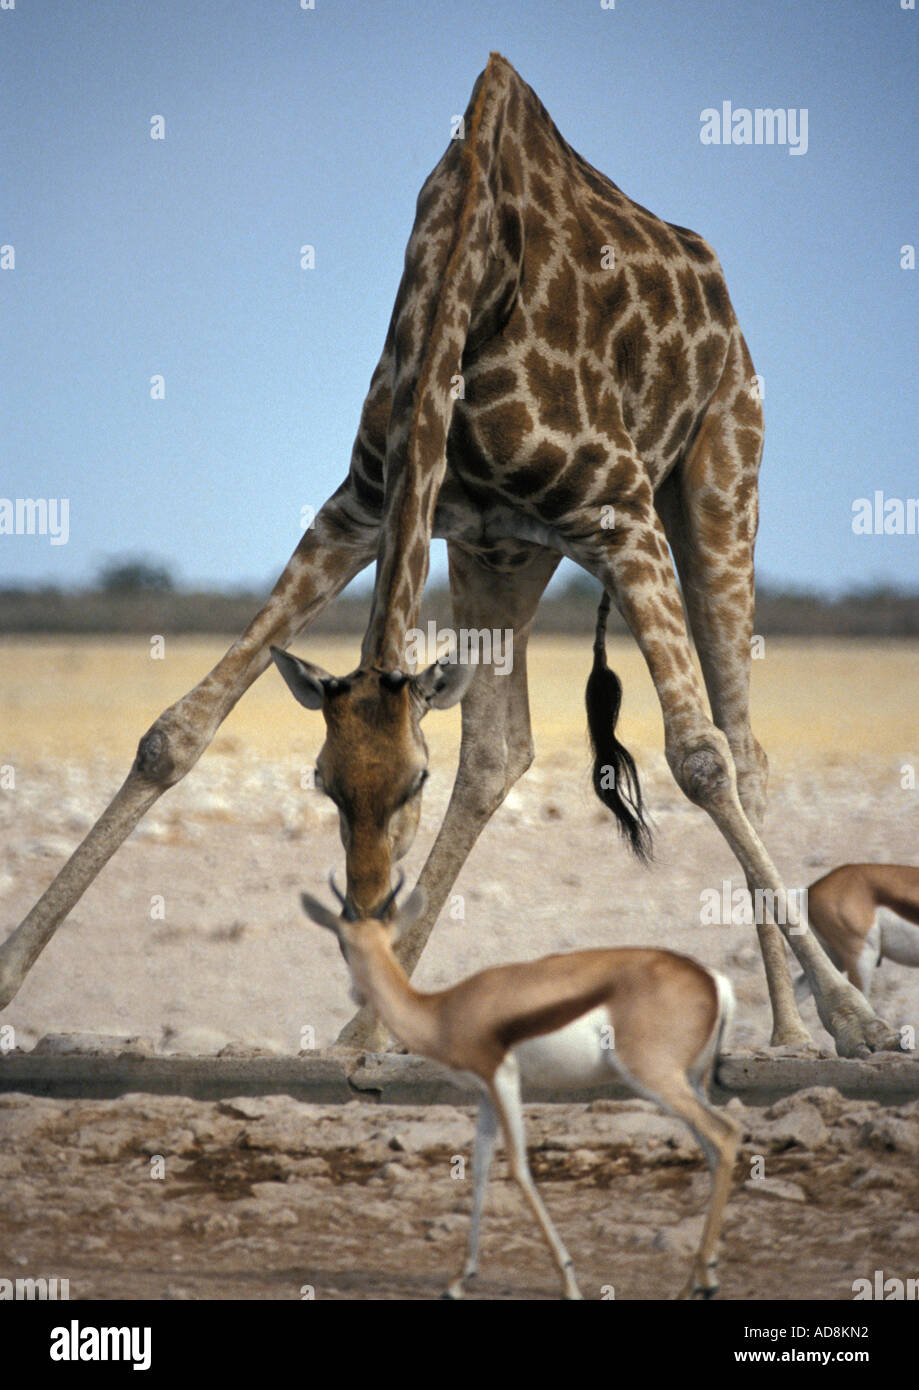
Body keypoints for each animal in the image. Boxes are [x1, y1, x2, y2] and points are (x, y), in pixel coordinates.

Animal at [0, 53, 898, 1058]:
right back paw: (365, 1030)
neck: (472, 276)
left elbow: (696, 756)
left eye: (409, 785)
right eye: (322, 783)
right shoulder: (362, 503)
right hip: (500, 553)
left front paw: (857, 1019)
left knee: (739, 749)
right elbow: (177, 732)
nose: (361, 906)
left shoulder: (619, 513)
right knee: (500, 750)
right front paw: (6, 977)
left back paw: (791, 1026)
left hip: (719, 481)